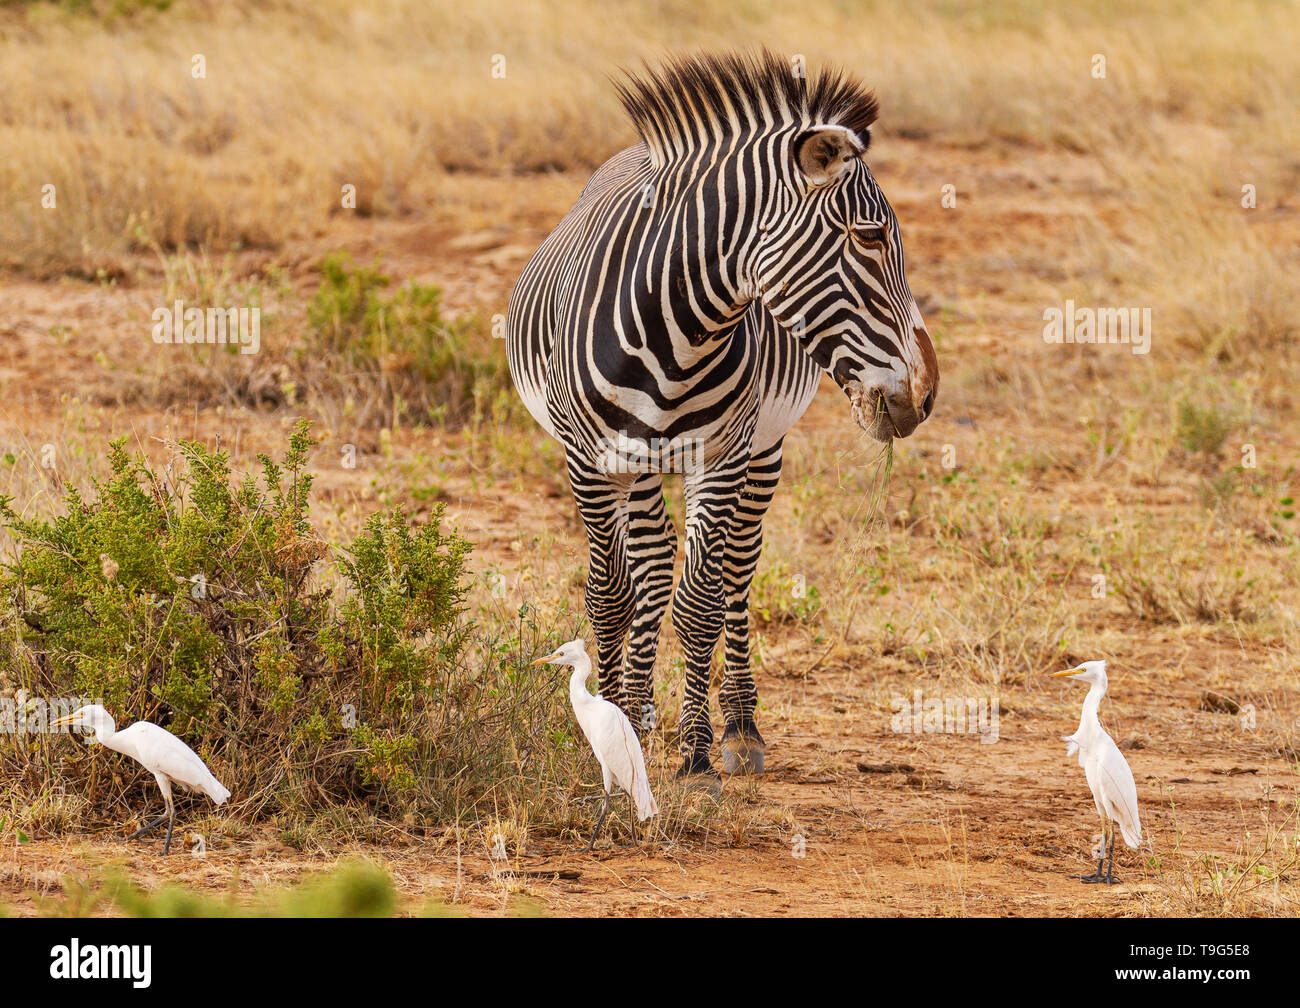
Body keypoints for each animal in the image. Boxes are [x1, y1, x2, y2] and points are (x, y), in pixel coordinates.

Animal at [507, 51, 939, 778]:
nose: (926, 394)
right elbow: (612, 595)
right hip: (639, 464)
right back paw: (637, 709)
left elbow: (700, 602)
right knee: (650, 563)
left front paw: (699, 757)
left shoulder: (724, 454)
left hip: (761, 448)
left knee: (734, 565)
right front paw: (611, 725)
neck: (674, 332)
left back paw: (737, 724)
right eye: (871, 238)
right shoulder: (589, 460)